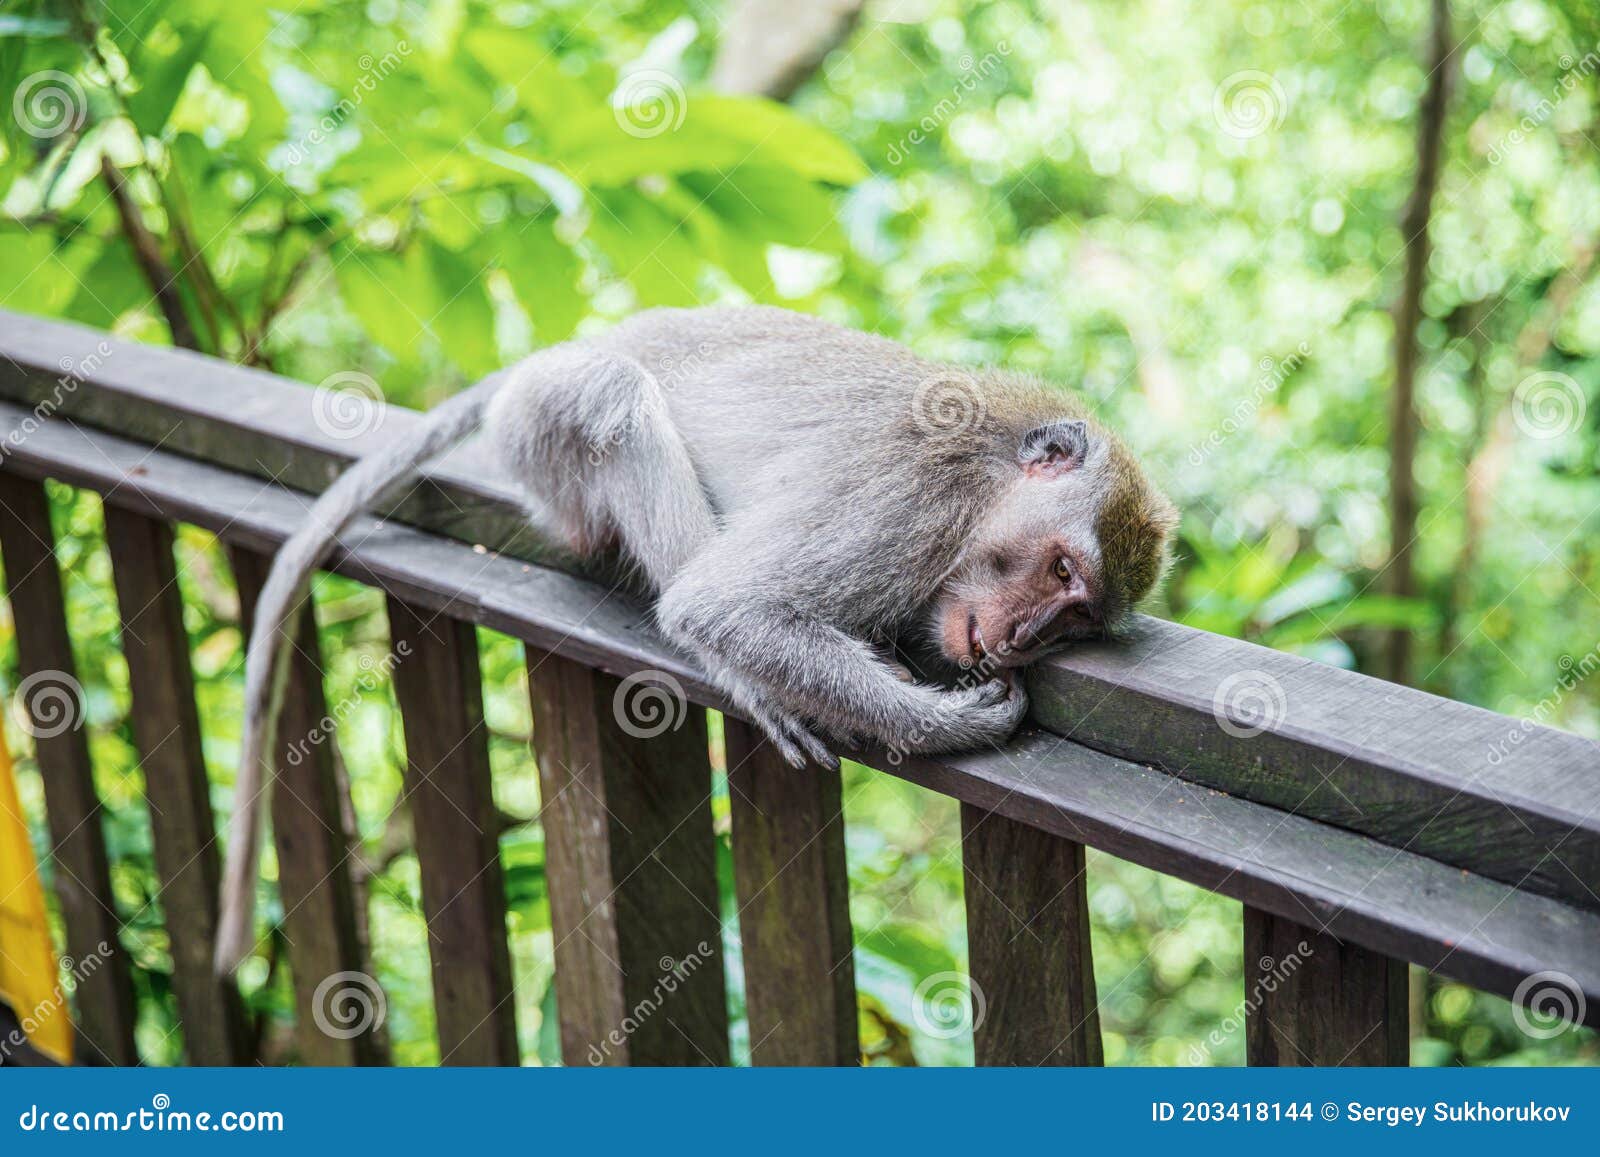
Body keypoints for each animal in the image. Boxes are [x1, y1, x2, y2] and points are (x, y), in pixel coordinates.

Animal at [214, 305, 1177, 972]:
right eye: (1060, 570)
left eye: (1077, 618)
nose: (1020, 639)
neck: (987, 483)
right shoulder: (908, 497)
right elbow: (728, 606)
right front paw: (948, 725)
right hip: (543, 424)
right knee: (620, 412)